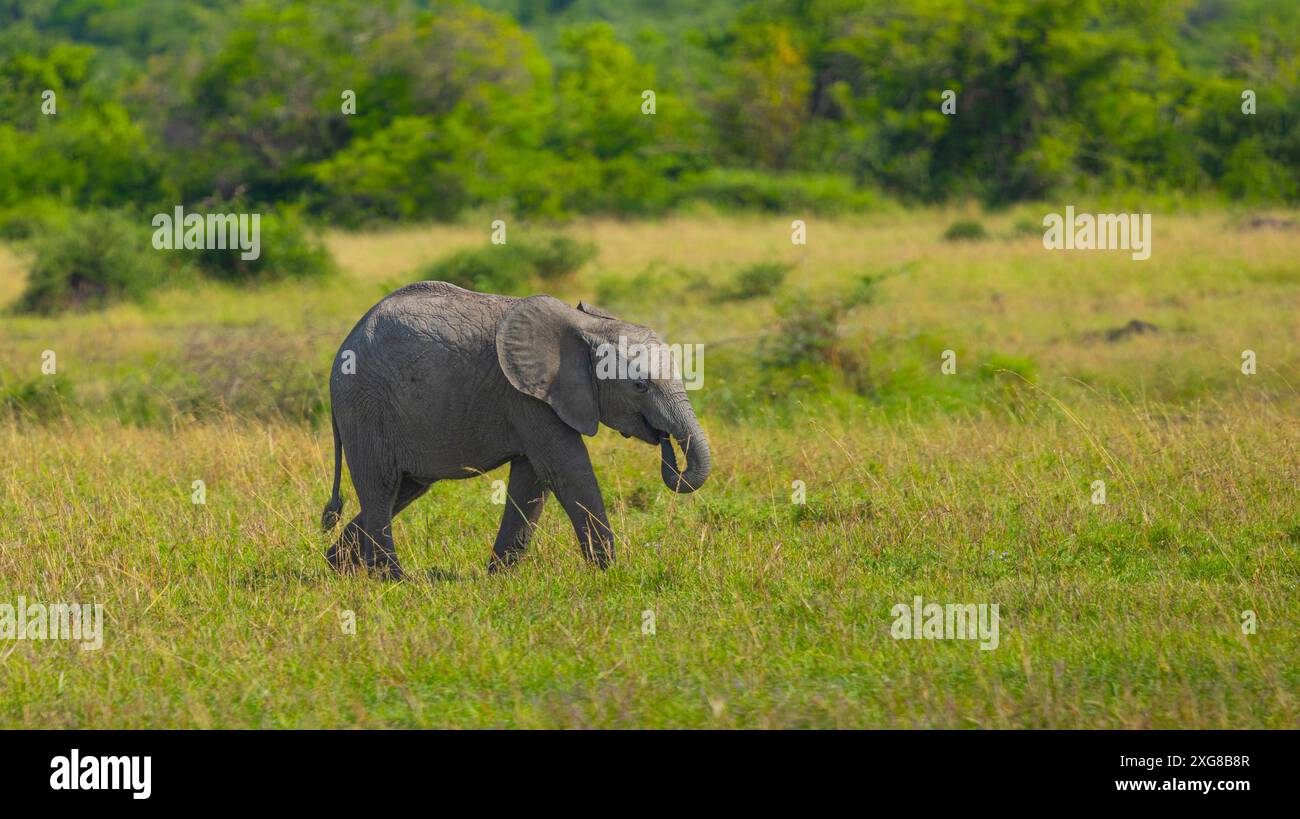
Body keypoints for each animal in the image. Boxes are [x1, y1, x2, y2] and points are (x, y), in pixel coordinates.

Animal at [320, 281, 711, 580]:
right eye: (640, 386)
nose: (664, 441)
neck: (586, 325)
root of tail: (341, 351)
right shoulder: (527, 396)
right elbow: (567, 470)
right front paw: (610, 572)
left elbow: (532, 480)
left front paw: (500, 577)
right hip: (364, 406)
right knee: (380, 486)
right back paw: (394, 580)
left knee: (404, 488)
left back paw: (338, 566)